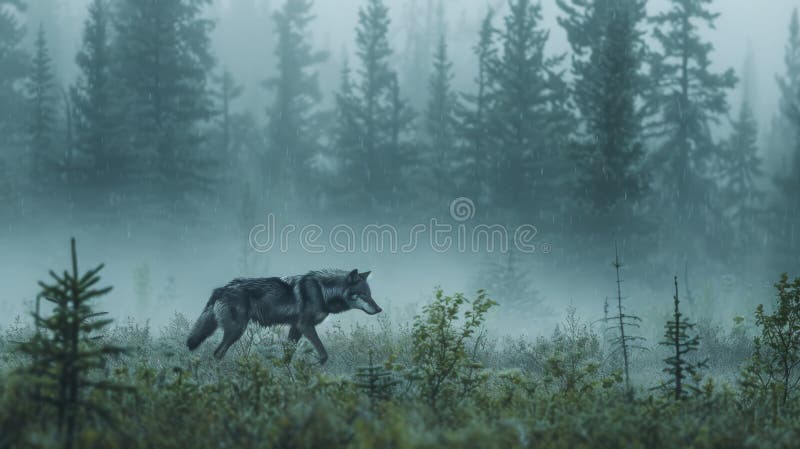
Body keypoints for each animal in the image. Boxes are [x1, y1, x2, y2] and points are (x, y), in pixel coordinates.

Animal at [186, 269, 381, 363]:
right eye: (363, 295)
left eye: (370, 295)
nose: (379, 309)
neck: (322, 291)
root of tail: (221, 289)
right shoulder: (305, 326)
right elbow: (324, 355)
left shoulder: (296, 328)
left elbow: (288, 355)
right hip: (236, 331)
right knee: (217, 353)